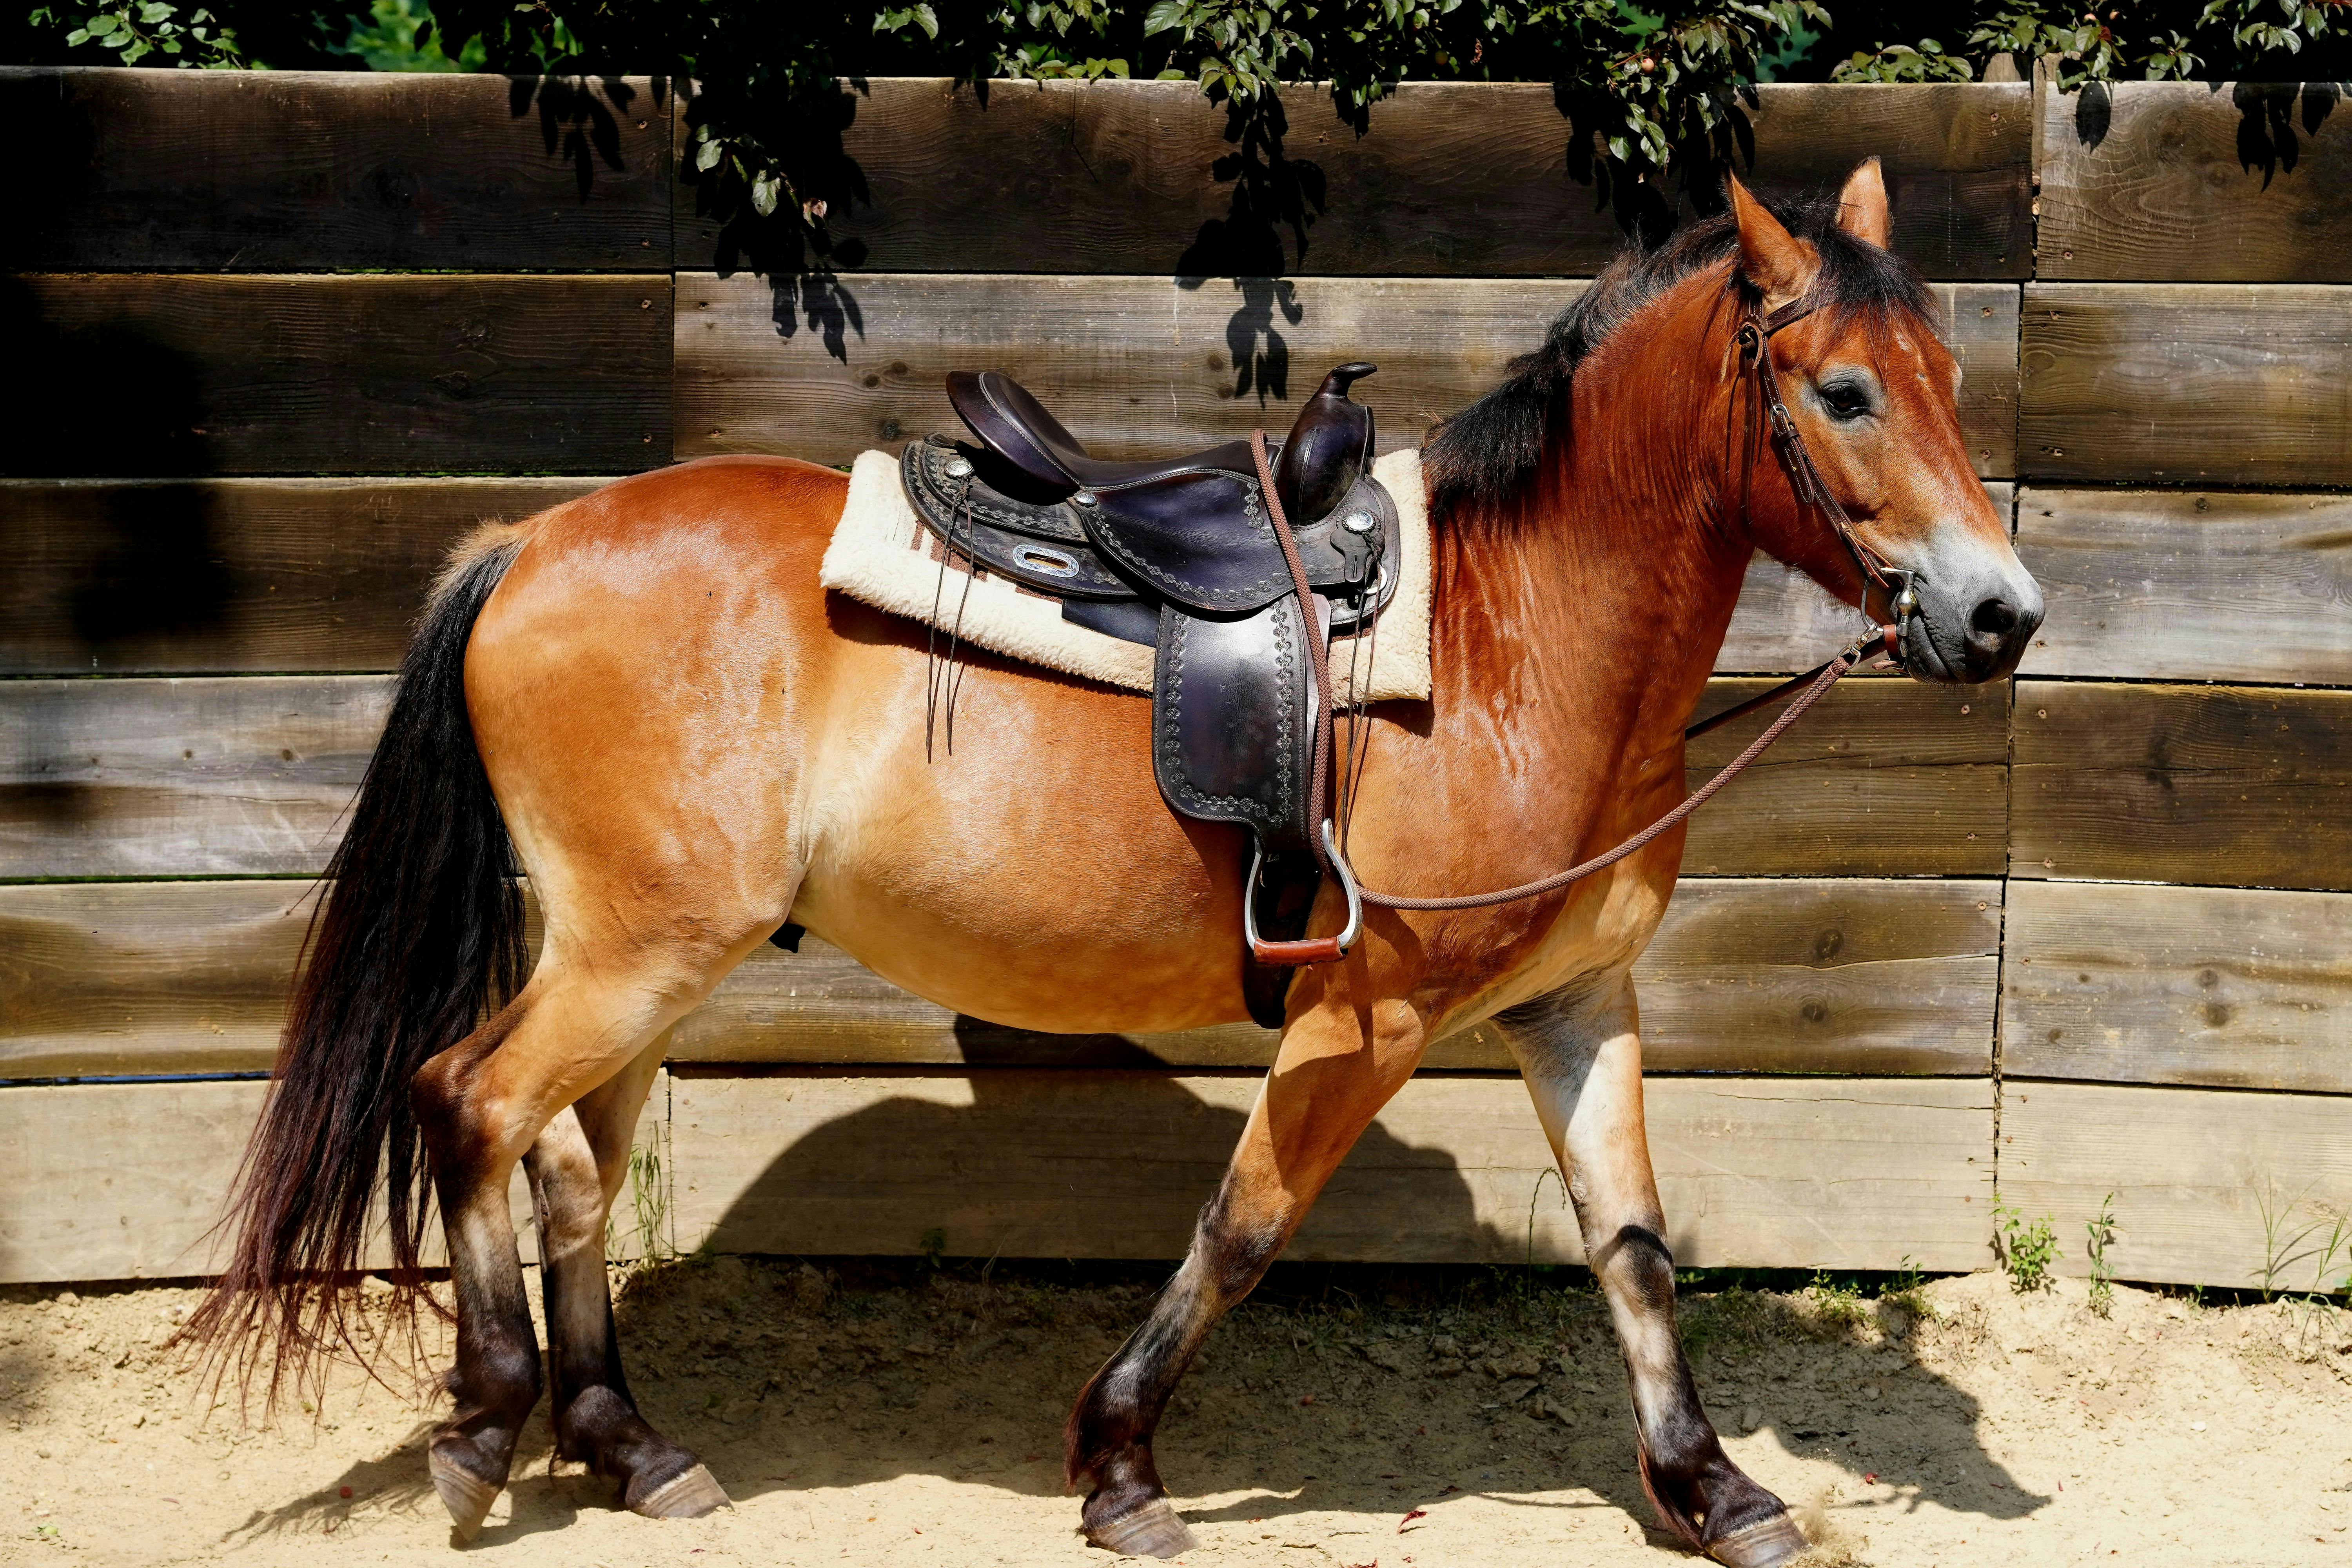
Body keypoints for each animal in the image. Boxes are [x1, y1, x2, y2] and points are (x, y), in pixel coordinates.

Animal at [185, 161, 2040, 1567]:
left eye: (1952, 384)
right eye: (1843, 392)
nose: (1999, 614)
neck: (1512, 644)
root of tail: (526, 541)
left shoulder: (1575, 1005)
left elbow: (1634, 1247)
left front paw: (1709, 1483)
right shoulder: (1365, 1018)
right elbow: (1243, 1225)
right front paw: (1121, 1458)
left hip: (636, 958)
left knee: (567, 1162)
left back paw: (623, 1440)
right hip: (633, 955)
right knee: (472, 1101)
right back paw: (488, 1422)